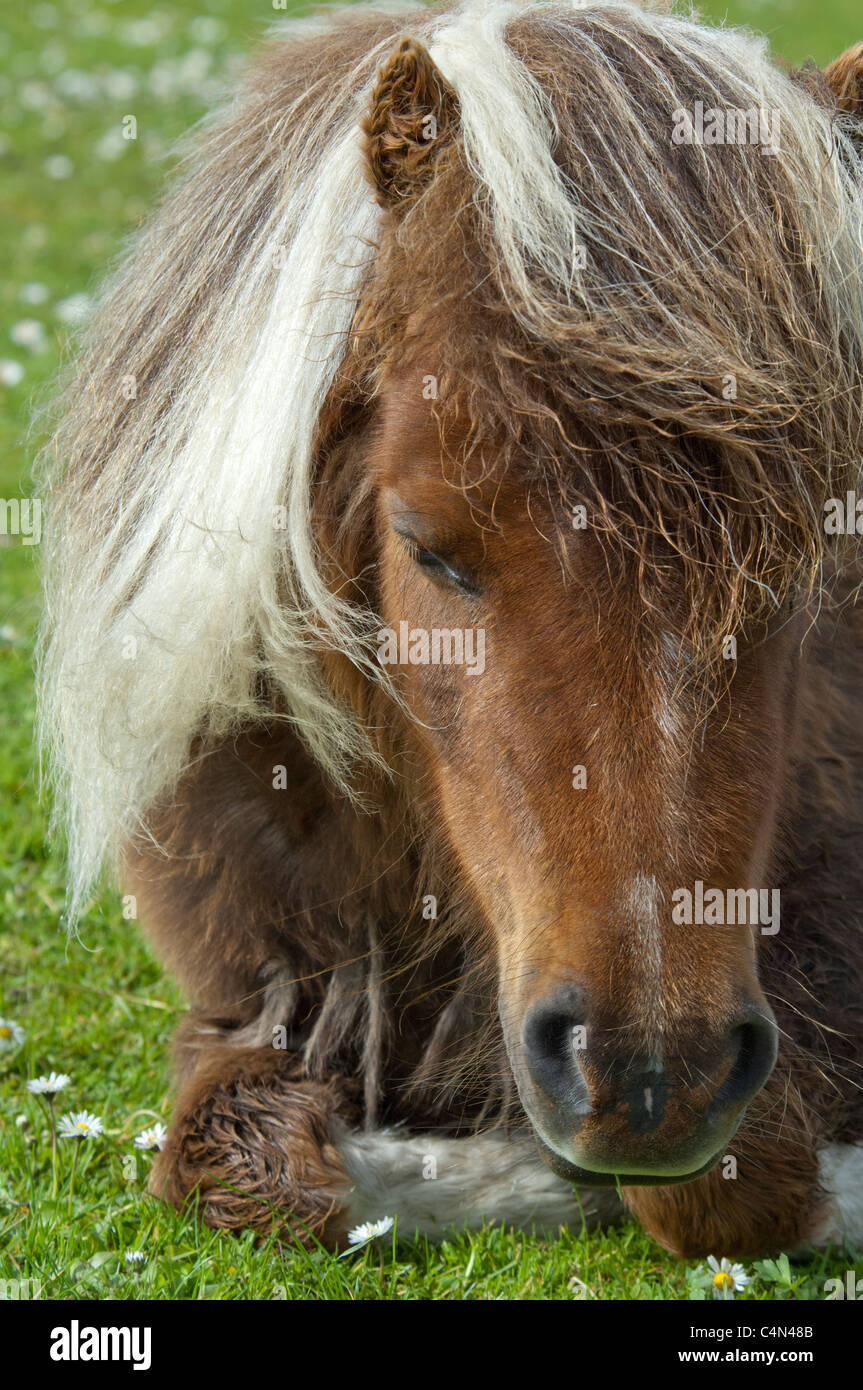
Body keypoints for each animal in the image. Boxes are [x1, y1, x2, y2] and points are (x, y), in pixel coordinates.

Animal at [38, 0, 863, 1259]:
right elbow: (250, 1172)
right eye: (426, 546)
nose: (646, 1073)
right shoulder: (247, 988)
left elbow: (727, 1184)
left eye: (794, 576)